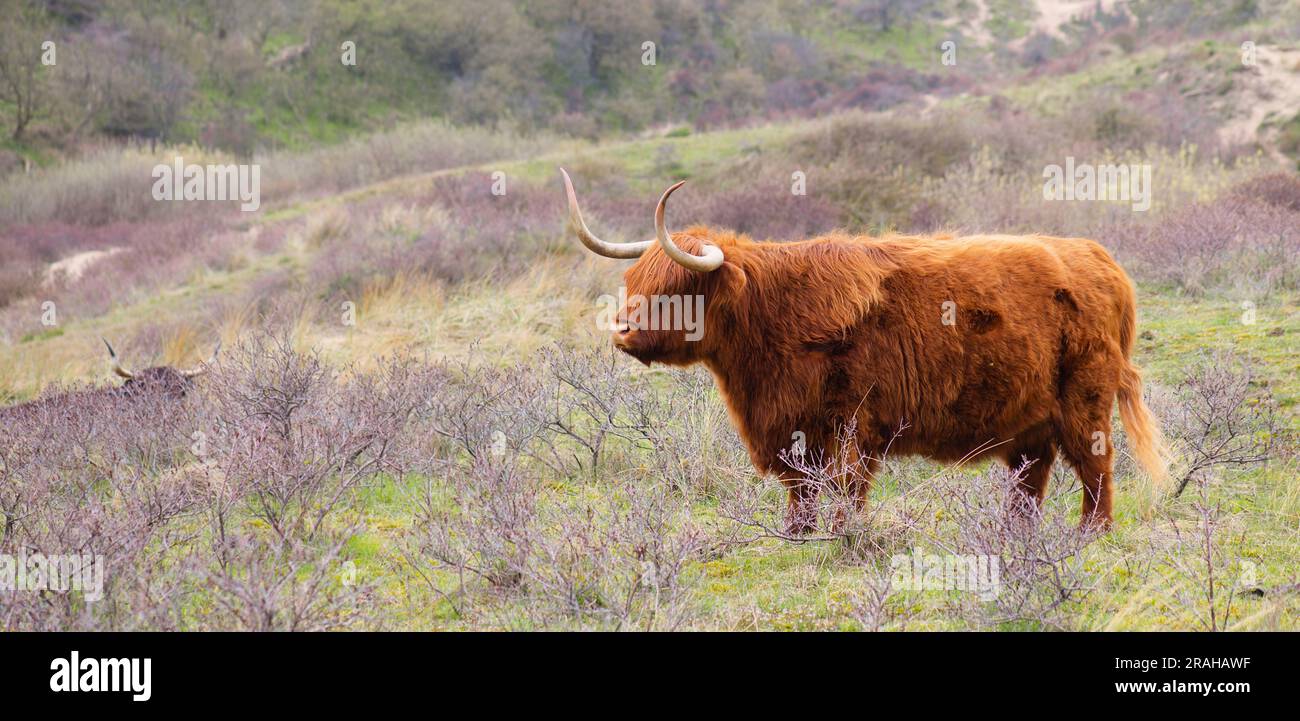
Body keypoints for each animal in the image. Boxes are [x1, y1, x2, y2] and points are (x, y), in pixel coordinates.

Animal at [560, 168, 1169, 534]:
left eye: (676, 288)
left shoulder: (855, 421)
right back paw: (1014, 535)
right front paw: (798, 536)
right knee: (1030, 477)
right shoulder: (791, 425)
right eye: (634, 279)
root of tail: (1099, 258)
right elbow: (801, 487)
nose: (621, 330)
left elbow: (849, 485)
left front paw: (843, 537)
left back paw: (1090, 535)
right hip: (1029, 418)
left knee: (1095, 466)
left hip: (1084, 400)